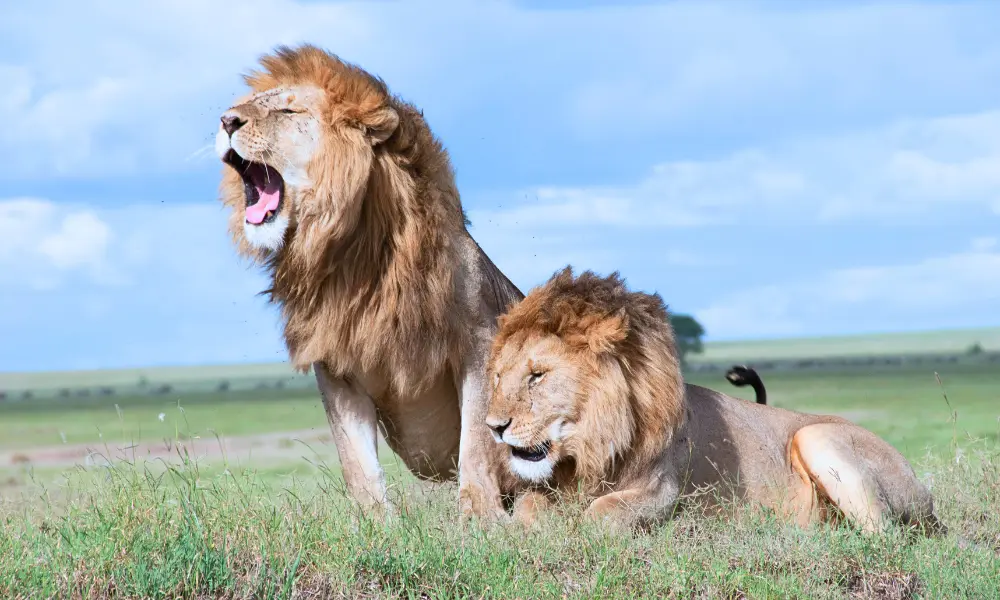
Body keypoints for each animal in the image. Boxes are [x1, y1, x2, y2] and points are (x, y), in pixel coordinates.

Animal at [214, 44, 524, 519]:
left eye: (287, 110)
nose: (226, 120)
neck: (352, 257)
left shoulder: (479, 342)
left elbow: (476, 443)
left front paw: (480, 520)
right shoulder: (335, 365)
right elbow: (356, 462)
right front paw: (377, 526)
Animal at [485, 268, 943, 534]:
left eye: (537, 375)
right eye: (498, 376)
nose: (494, 427)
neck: (591, 447)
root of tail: (926, 495)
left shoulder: (664, 492)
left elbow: (601, 513)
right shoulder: (547, 487)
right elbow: (527, 507)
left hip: (817, 437)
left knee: (885, 536)